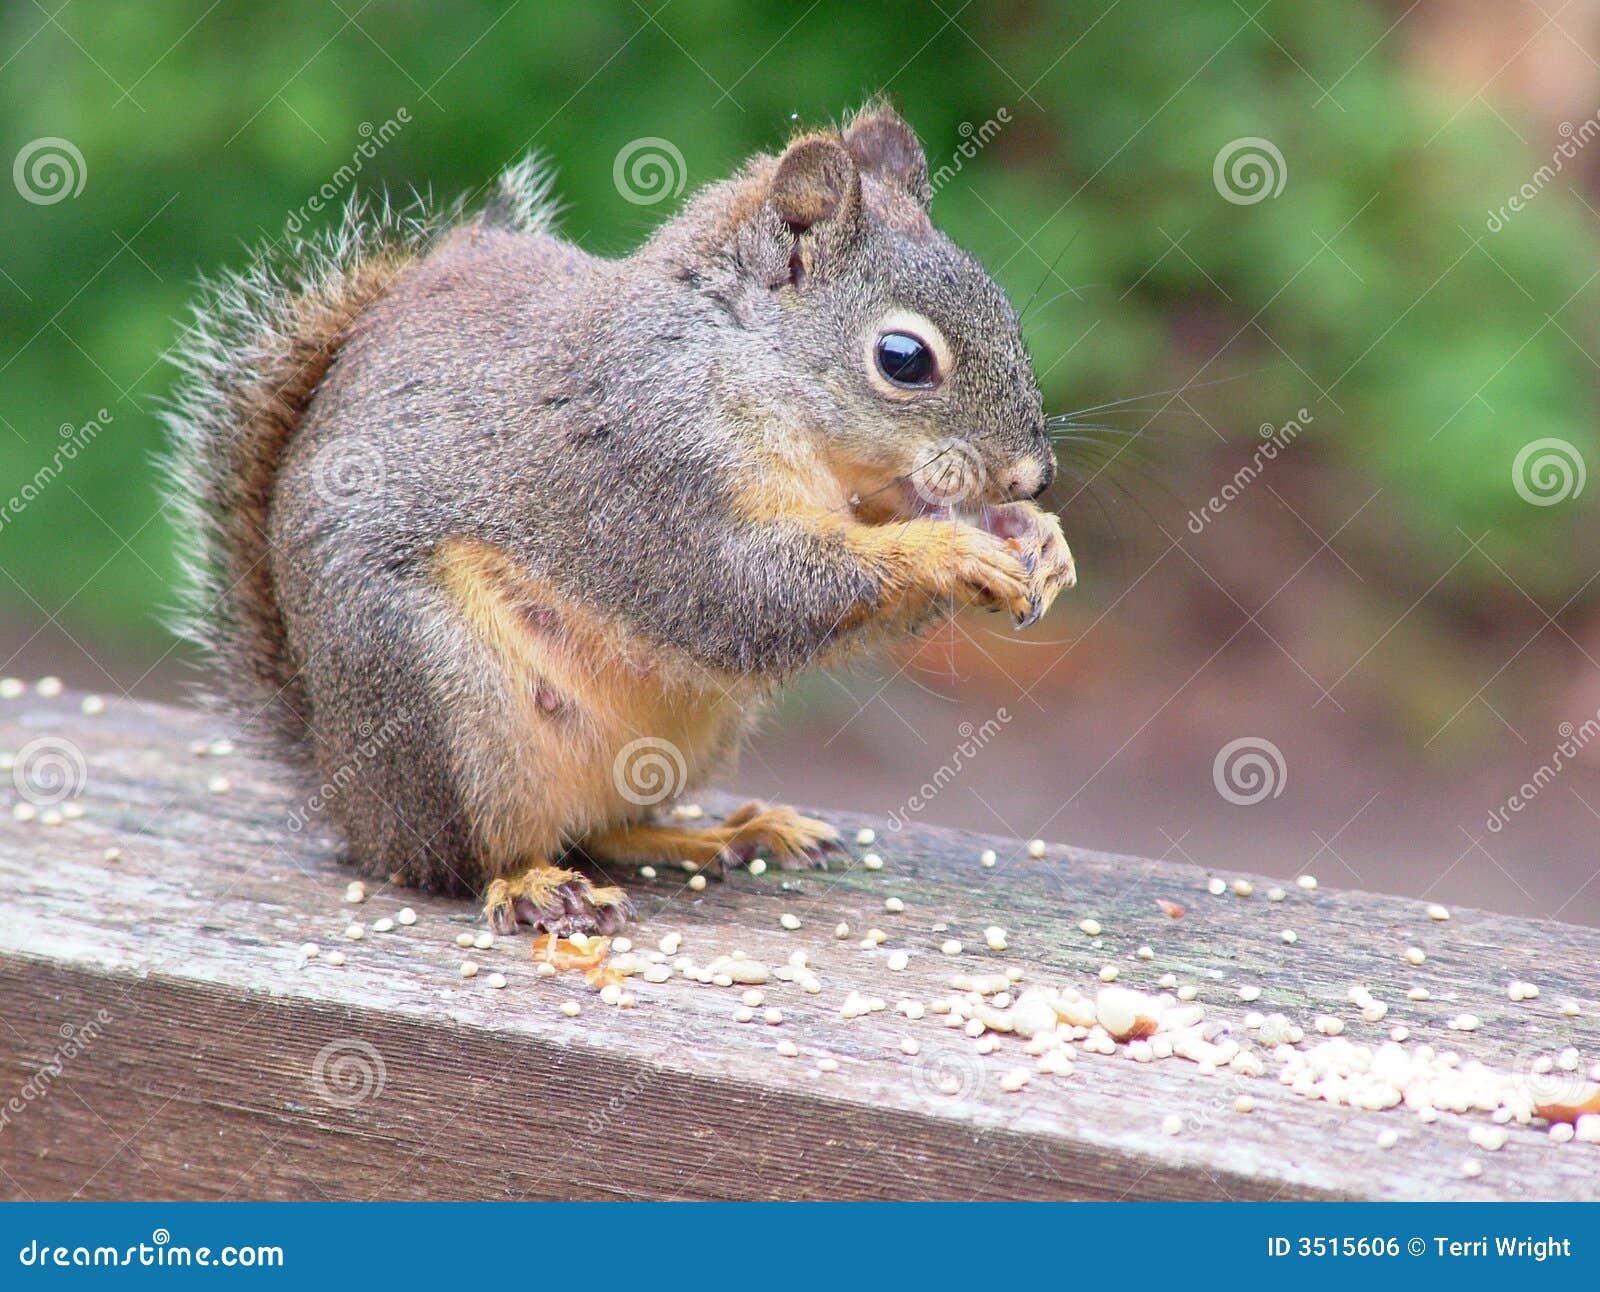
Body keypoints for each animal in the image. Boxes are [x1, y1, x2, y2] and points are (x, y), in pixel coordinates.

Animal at [164, 100, 1075, 937]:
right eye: (903, 359)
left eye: (1008, 313)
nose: (1035, 475)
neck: (736, 362)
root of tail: (350, 804)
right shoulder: (649, 472)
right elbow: (751, 592)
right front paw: (953, 552)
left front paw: (1039, 542)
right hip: (441, 697)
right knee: (472, 857)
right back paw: (533, 886)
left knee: (605, 830)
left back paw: (723, 836)